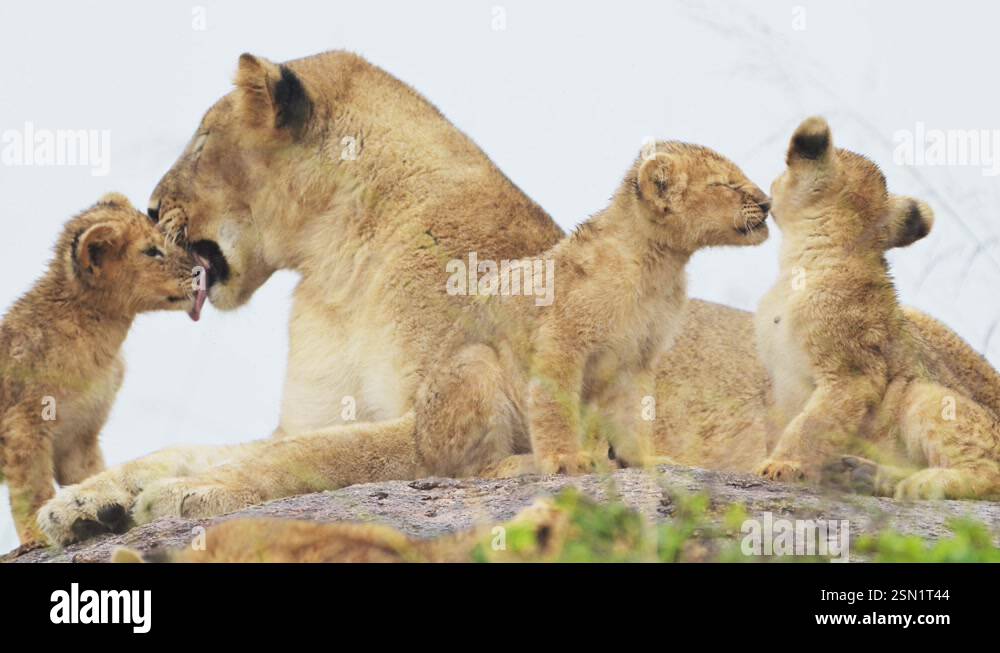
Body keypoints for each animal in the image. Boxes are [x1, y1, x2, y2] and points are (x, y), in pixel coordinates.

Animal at [0, 193, 200, 545]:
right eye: (152, 251)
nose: (204, 270)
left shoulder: (80, 435)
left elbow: (89, 475)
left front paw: (93, 507)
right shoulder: (23, 428)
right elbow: (32, 490)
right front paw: (39, 537)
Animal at [754, 116, 1000, 500]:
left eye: (782, 173)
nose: (767, 195)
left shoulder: (852, 373)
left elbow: (811, 425)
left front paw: (781, 465)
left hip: (922, 394)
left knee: (990, 472)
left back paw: (920, 482)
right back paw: (862, 474)